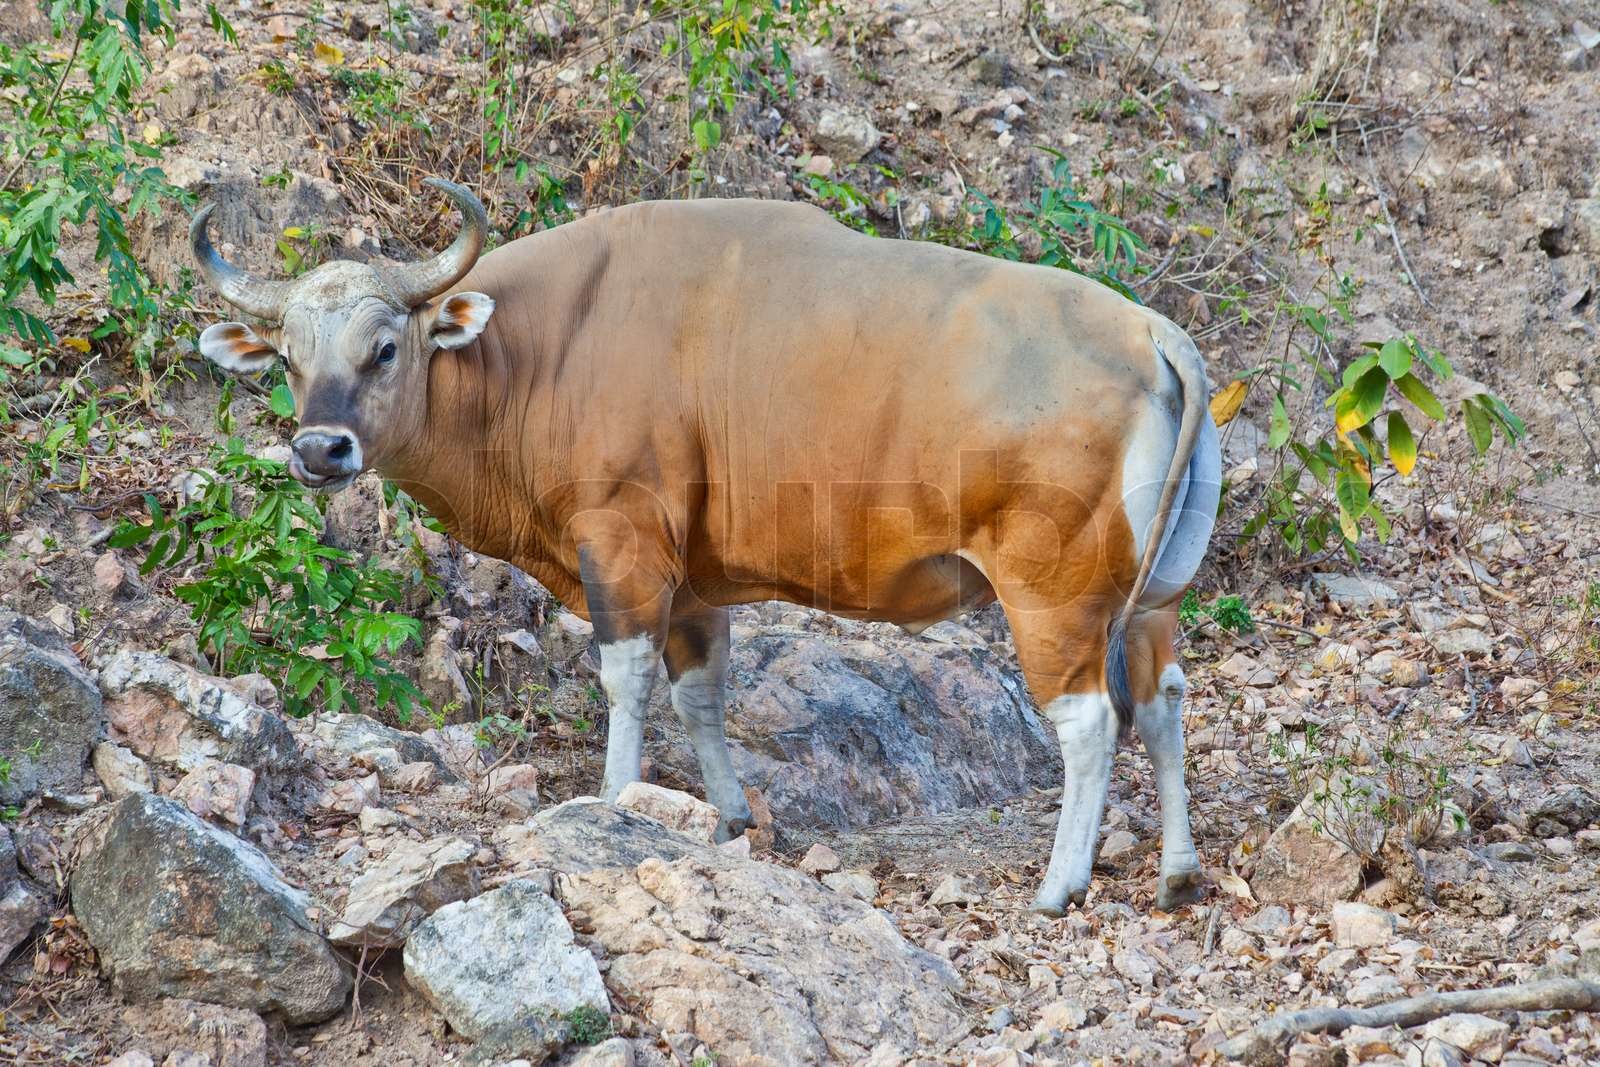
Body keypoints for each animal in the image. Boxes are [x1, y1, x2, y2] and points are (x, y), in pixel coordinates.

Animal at [190, 178, 1221, 914]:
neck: (538, 354)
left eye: (385, 348)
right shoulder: (695, 583)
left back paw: (1060, 883)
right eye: (289, 359)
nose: (321, 450)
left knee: (1088, 721)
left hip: (1053, 590)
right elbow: (701, 693)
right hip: (1154, 598)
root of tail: (1153, 332)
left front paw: (613, 800)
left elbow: (626, 679)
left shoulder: (623, 544)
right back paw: (1177, 871)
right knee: (1163, 699)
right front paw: (725, 816)